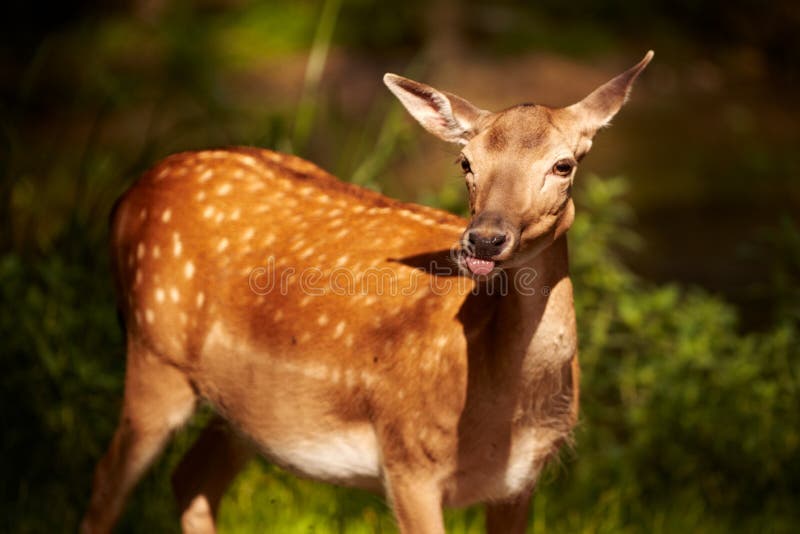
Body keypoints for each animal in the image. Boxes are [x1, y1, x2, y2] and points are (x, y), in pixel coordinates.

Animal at [81, 51, 653, 534]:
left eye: (563, 164)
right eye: (465, 162)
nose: (484, 239)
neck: (503, 416)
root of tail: (126, 198)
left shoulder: (520, 483)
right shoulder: (406, 458)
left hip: (246, 407)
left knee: (191, 479)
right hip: (154, 351)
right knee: (106, 481)